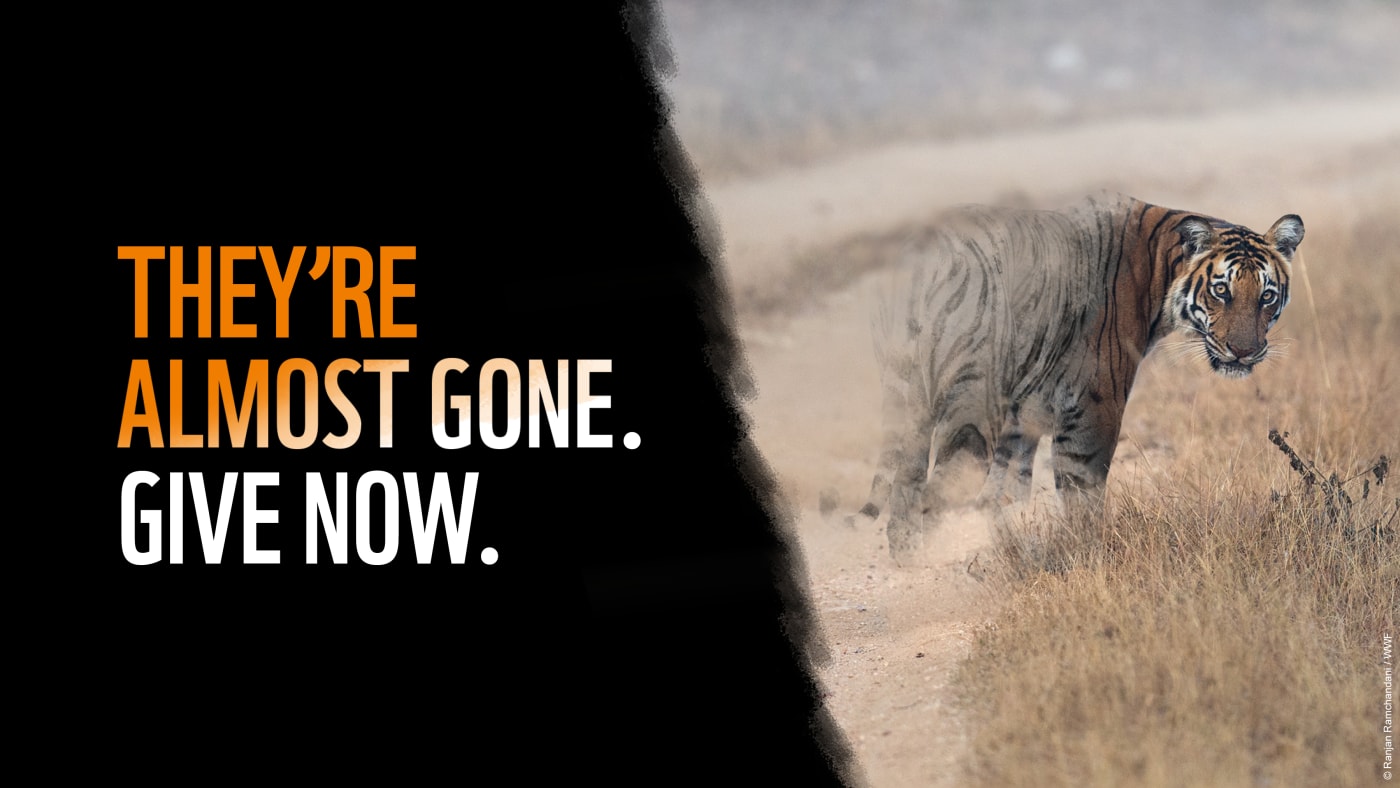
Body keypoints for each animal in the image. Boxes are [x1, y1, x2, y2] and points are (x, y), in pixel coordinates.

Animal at [854, 191, 1304, 558]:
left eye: (1266, 296)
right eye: (1221, 290)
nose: (1243, 352)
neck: (1159, 269)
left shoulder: (1024, 418)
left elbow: (1007, 492)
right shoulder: (1094, 406)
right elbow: (1080, 494)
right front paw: (1088, 554)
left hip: (906, 396)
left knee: (906, 488)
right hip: (972, 402)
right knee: (937, 493)